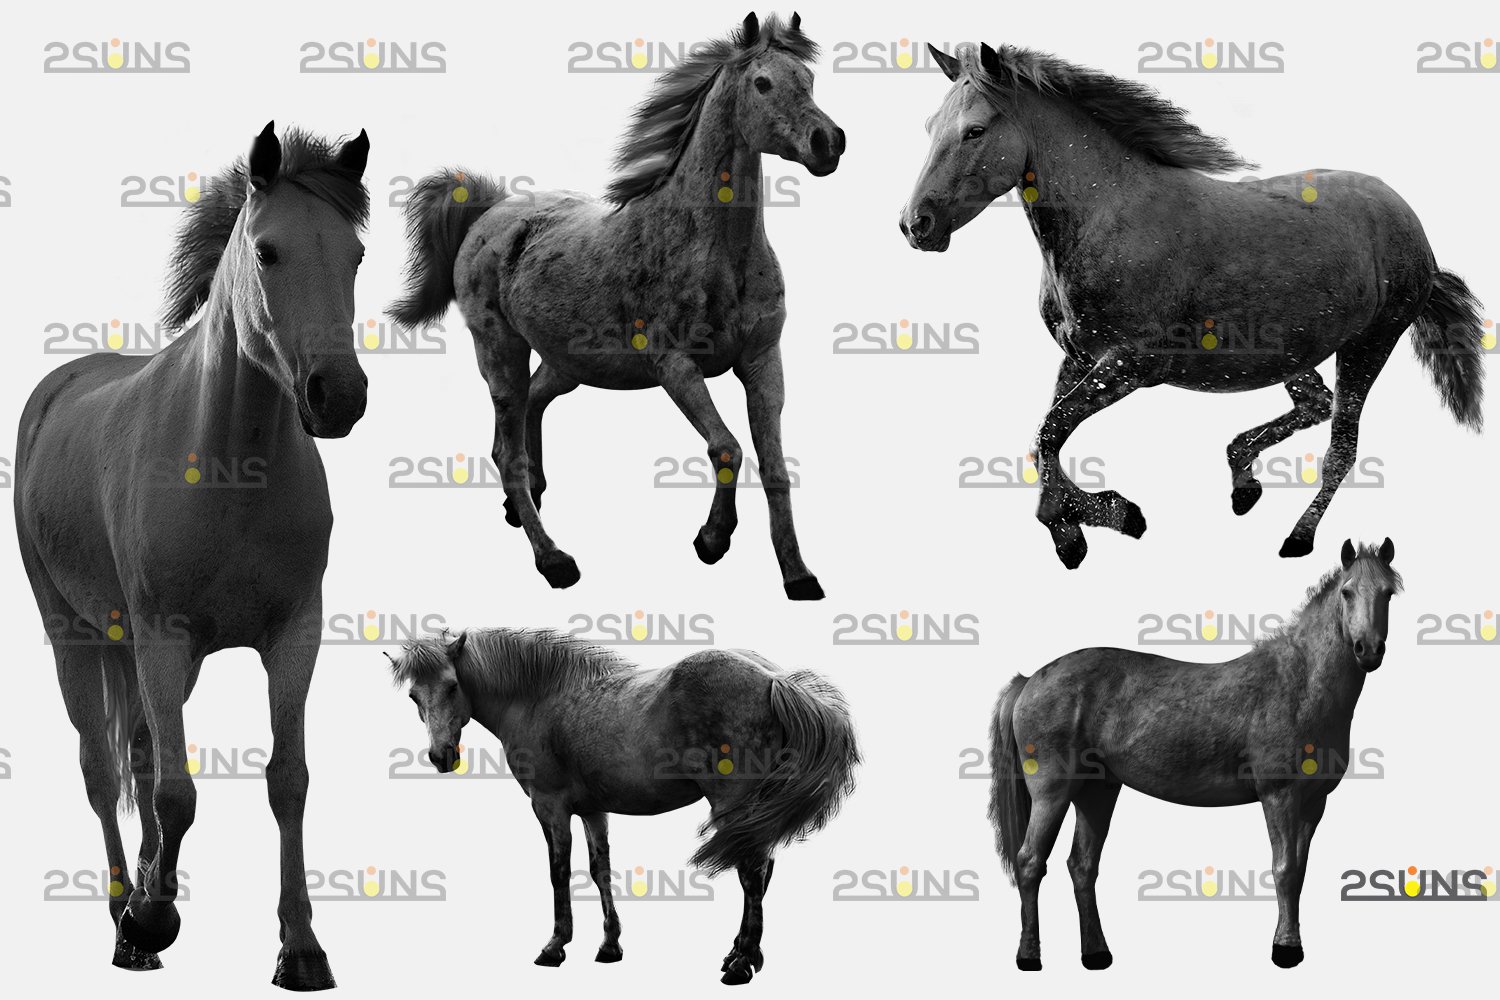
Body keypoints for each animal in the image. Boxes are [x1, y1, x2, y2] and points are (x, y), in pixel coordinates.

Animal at [14, 122, 370, 990]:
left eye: (355, 255)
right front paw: (152, 916)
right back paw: (126, 920)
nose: (337, 395)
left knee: (141, 755)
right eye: (268, 252)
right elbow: (176, 793)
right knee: (103, 770)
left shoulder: (293, 635)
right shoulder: (163, 638)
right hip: (75, 635)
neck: (229, 470)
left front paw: (301, 947)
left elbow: (287, 779)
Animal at [388, 627, 859, 985]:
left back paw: (741, 963)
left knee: (751, 873)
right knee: (761, 870)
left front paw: (556, 946)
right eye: (413, 696)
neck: (539, 697)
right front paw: (609, 945)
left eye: (452, 686)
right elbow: (600, 870)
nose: (441, 757)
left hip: (734, 802)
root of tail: (775, 678)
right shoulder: (593, 811)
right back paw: (740, 954)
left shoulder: (550, 807)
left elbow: (559, 872)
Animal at [390, 12, 843, 600]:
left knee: (529, 413)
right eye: (762, 83)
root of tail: (490, 212)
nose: (828, 142)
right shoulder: (675, 366)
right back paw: (554, 559)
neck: (719, 254)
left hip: (567, 363)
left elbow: (774, 467)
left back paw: (525, 501)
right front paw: (712, 539)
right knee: (507, 451)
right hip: (499, 350)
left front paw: (799, 575)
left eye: (808, 80)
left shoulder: (763, 361)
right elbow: (727, 448)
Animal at [901, 43, 1485, 568]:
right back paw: (1243, 481)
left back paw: (1296, 538)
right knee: (1314, 405)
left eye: (975, 130)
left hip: (1369, 344)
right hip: (1293, 350)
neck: (1110, 216)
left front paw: (1110, 520)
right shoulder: (1078, 357)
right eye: (929, 126)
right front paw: (1083, 527)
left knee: (1341, 448)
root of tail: (1414, 230)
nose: (915, 225)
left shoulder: (1128, 365)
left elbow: (1047, 436)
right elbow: (1046, 443)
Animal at [988, 538, 1399, 970]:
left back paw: (1096, 954)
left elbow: (1299, 872)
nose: (1368, 650)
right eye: (1347, 592)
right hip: (1052, 792)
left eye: (1387, 593)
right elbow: (1284, 871)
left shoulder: (1313, 803)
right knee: (1030, 863)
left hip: (1097, 791)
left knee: (1082, 867)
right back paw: (1028, 957)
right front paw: (1285, 950)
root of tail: (1030, 680)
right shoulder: (1279, 795)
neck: (1301, 684)